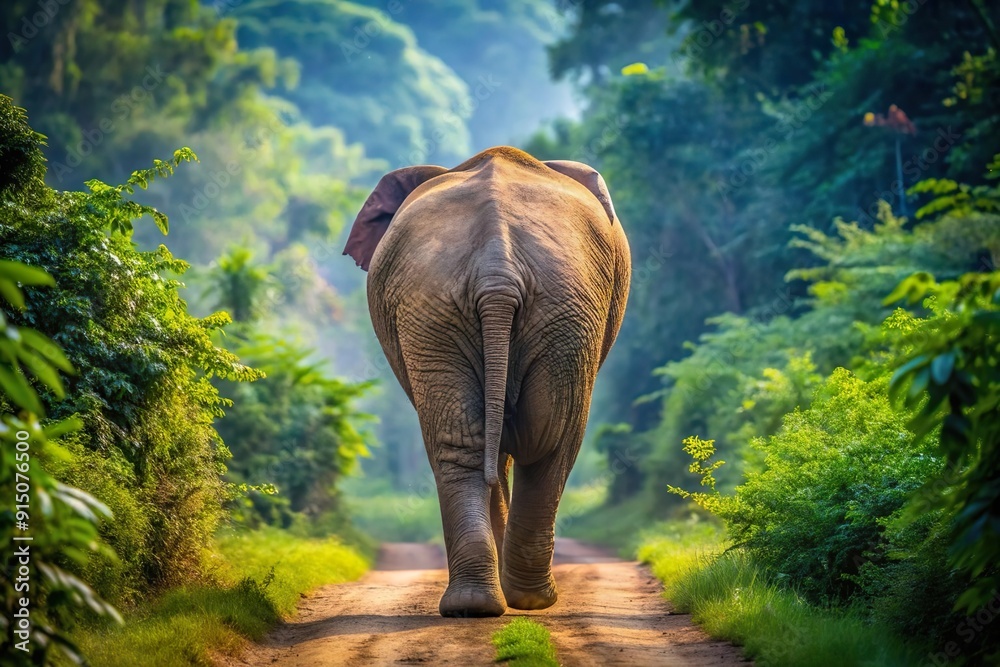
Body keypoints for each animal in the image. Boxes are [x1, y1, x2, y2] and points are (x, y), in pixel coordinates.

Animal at [343, 146, 631, 617]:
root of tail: (497, 270)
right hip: (479, 308)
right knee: (544, 440)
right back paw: (524, 600)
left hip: (473, 308)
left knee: (486, 443)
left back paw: (484, 604)